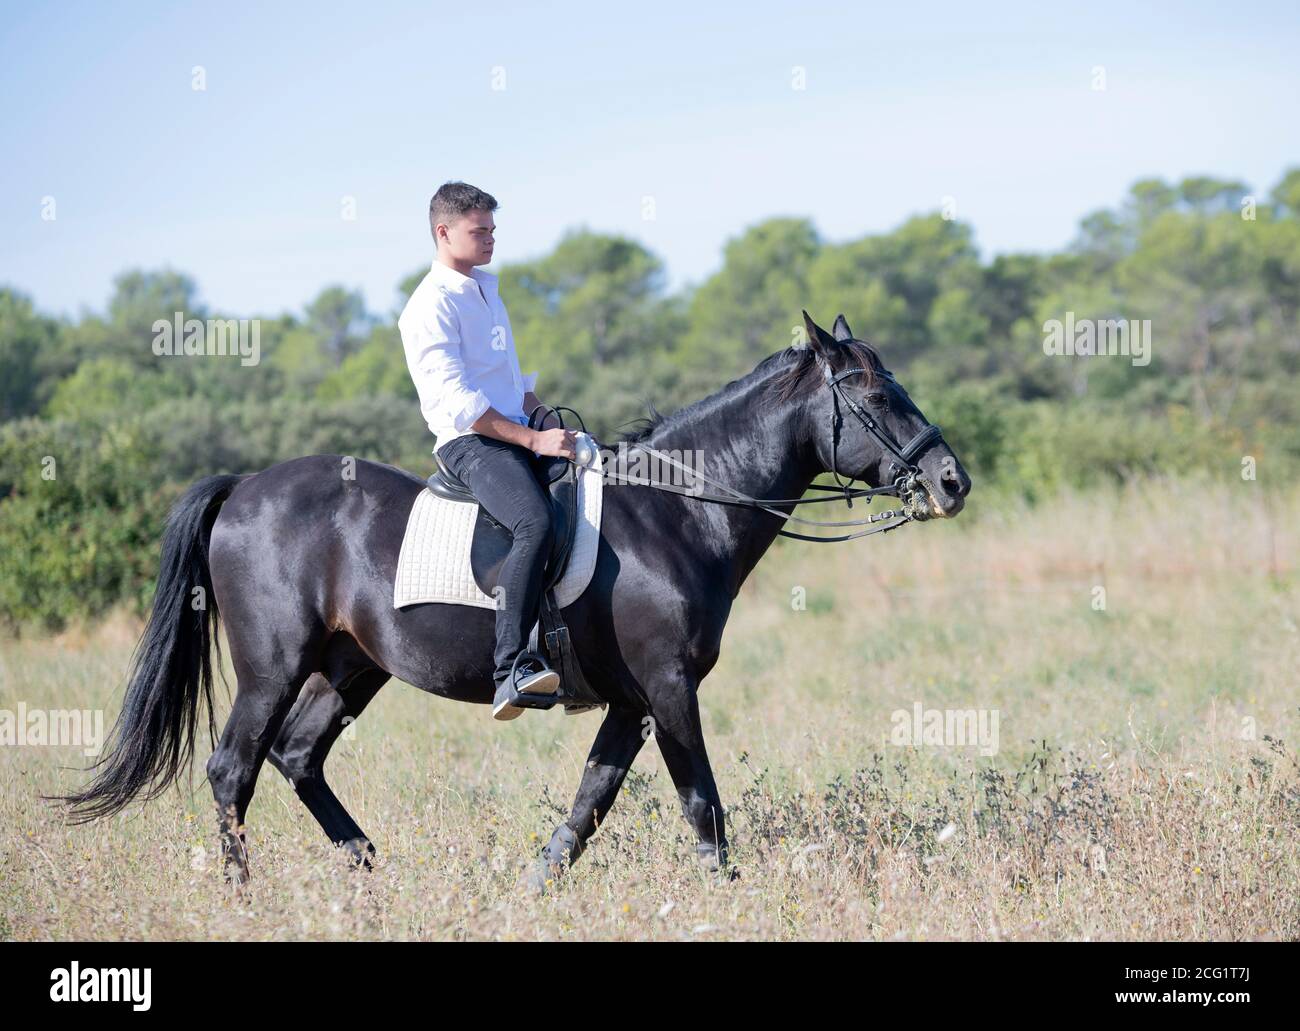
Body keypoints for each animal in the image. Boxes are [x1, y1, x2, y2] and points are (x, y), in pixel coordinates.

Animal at [60, 312, 971, 890]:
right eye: (876, 397)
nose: (951, 480)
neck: (679, 511)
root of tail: (246, 486)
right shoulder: (669, 687)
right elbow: (701, 801)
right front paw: (733, 893)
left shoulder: (633, 701)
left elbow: (591, 800)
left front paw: (537, 886)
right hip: (272, 665)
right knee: (234, 767)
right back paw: (245, 895)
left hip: (349, 668)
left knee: (297, 756)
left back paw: (371, 870)